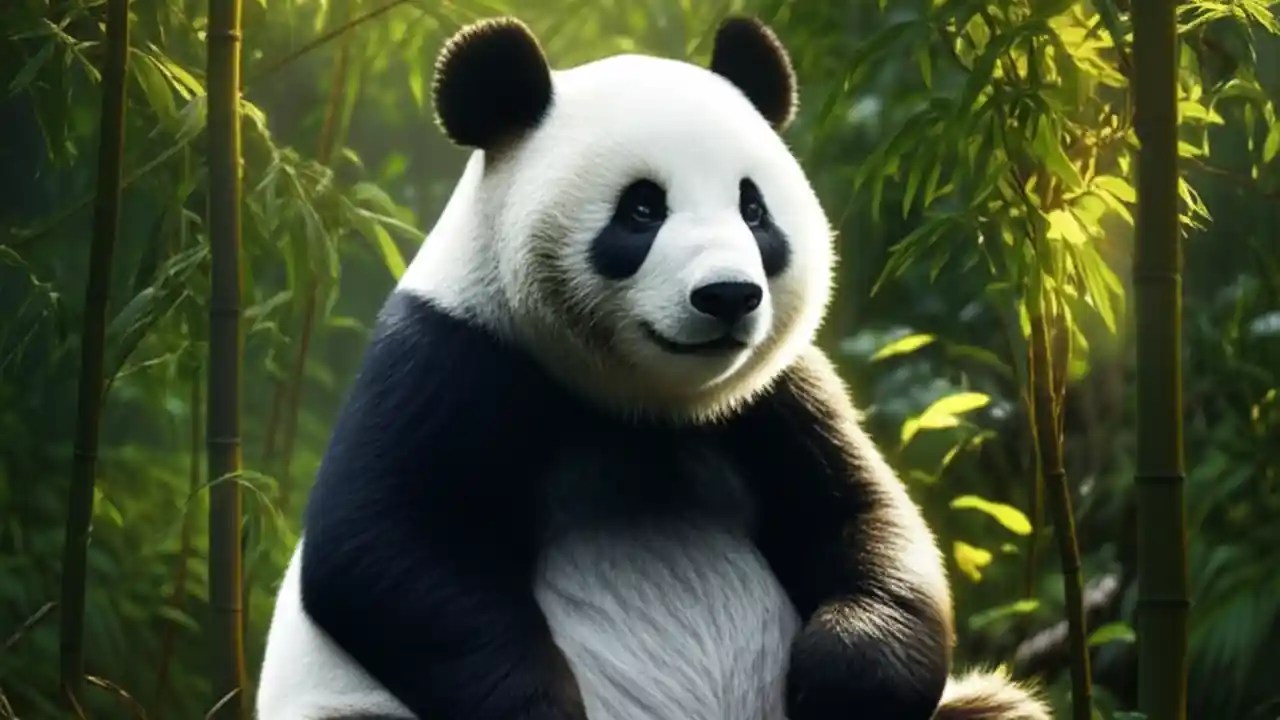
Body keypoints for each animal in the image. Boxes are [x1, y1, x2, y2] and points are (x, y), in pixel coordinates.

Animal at [255, 15, 1052, 720]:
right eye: (641, 210)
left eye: (754, 209)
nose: (728, 295)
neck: (644, 405)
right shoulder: (453, 358)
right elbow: (384, 544)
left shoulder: (776, 393)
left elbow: (864, 518)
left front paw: (843, 682)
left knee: (998, 708)